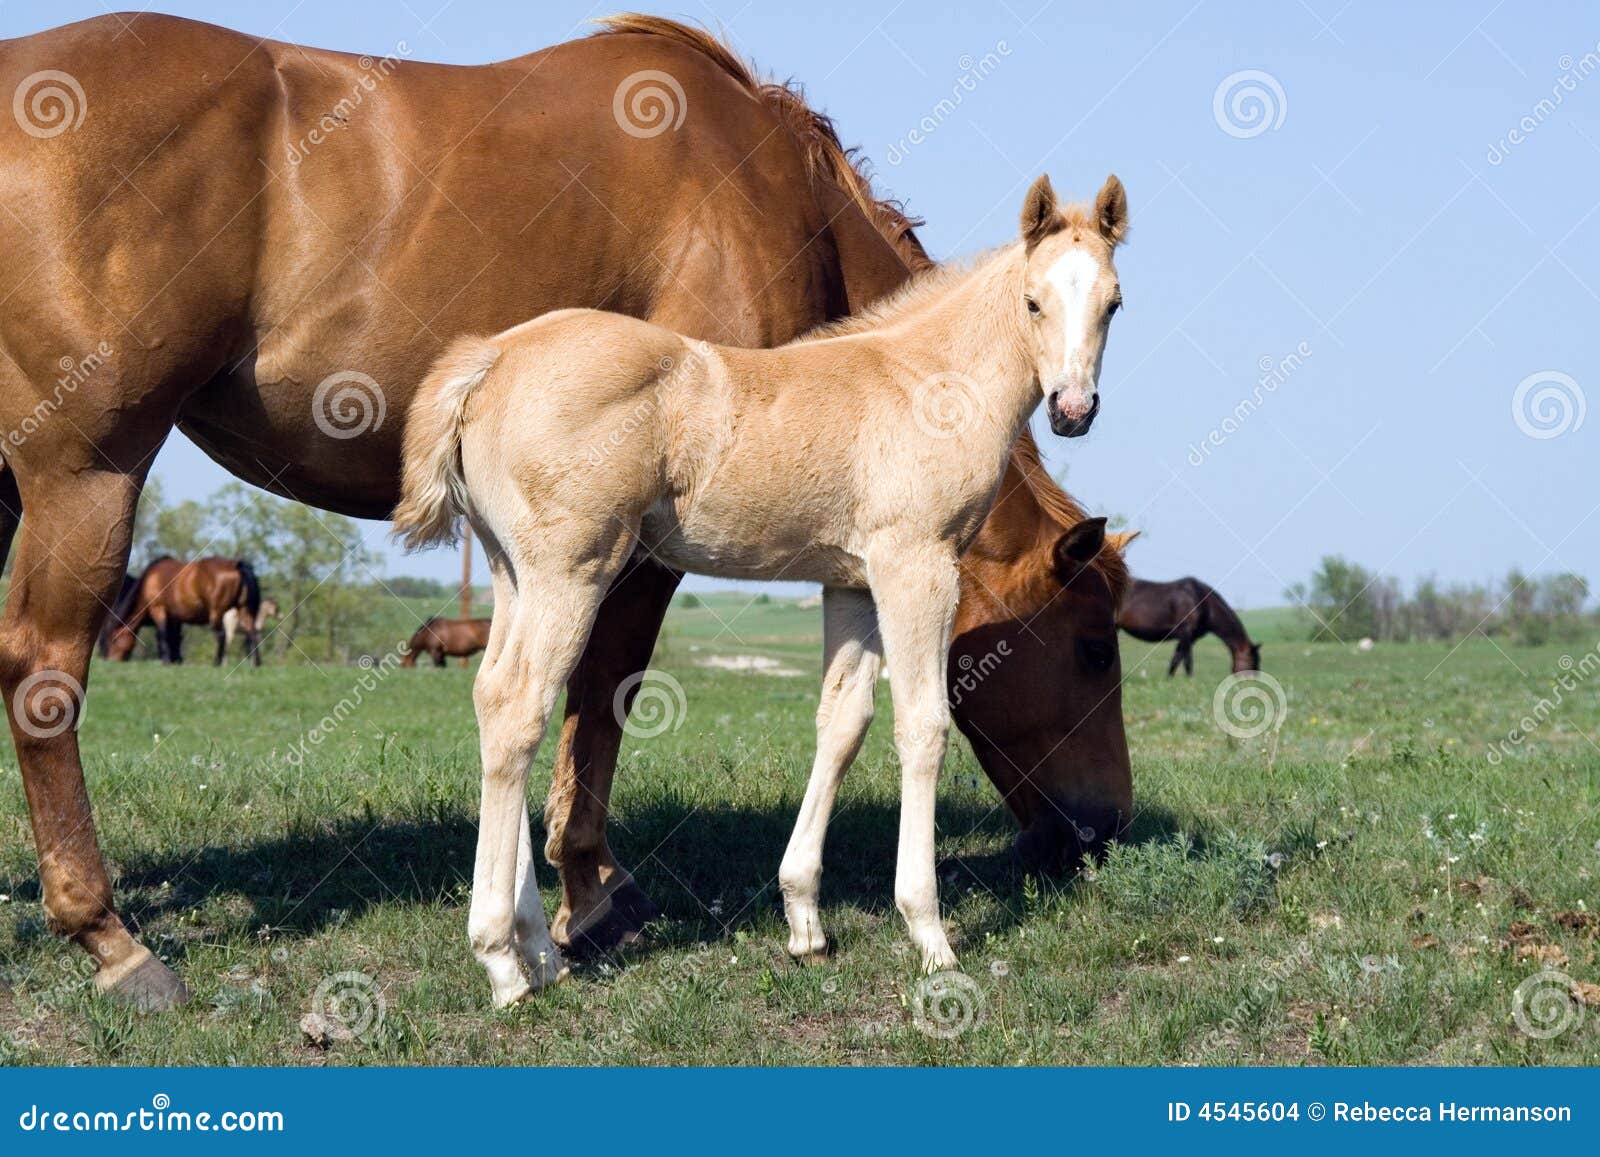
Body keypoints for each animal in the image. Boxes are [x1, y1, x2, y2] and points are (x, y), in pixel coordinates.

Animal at [103, 558, 265, 667]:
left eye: (114, 640)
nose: (111, 660)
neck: (150, 580)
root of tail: (235, 565)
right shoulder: (175, 618)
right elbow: (175, 638)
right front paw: (176, 660)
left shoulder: (158, 610)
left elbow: (162, 636)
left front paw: (167, 660)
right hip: (244, 610)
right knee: (252, 632)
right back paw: (256, 663)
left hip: (217, 613)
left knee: (221, 636)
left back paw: (216, 663)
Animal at [394, 171, 1129, 1001]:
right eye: (1033, 301)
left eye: (1113, 301)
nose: (1073, 410)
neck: (927, 383)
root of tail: (491, 355)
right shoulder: (916, 565)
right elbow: (923, 725)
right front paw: (930, 932)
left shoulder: (851, 583)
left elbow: (842, 723)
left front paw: (805, 920)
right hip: (570, 570)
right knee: (519, 706)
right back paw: (502, 962)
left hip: (511, 571)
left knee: (492, 696)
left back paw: (540, 953)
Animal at [1117, 576, 1261, 675]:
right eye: (1253, 662)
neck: (1201, 600)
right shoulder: (1185, 632)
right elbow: (1187, 661)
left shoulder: (1190, 637)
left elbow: (1176, 659)